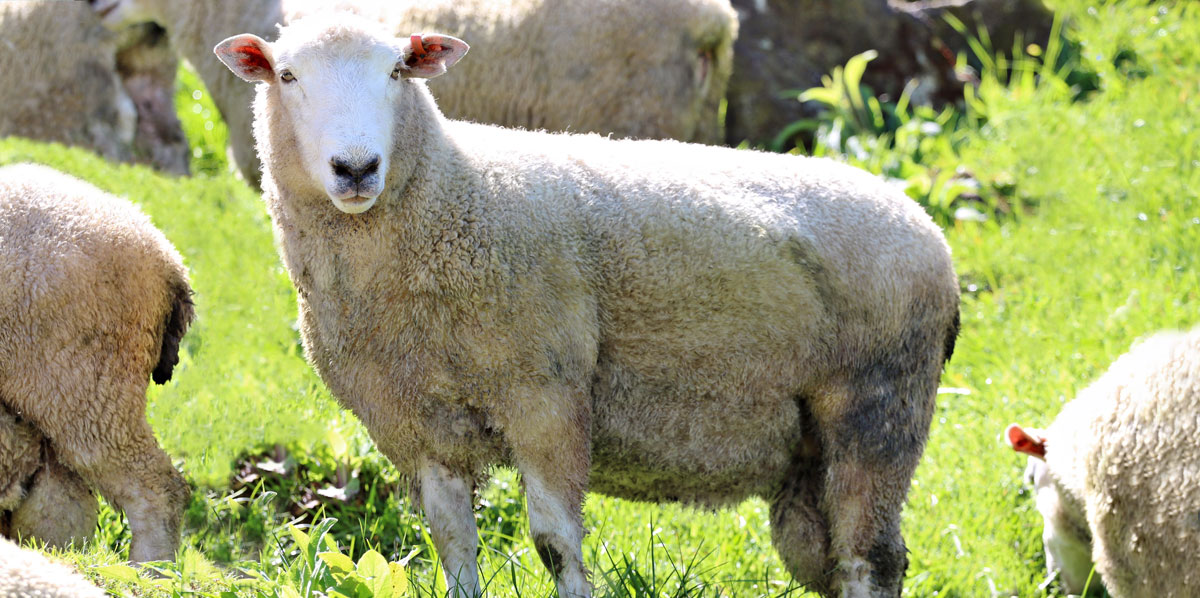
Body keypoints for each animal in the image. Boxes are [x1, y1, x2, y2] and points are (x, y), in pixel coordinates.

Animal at [215, 14, 960, 598]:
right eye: (286, 75)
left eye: (399, 70)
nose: (356, 169)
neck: (454, 200)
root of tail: (927, 228)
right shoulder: (414, 423)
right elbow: (452, 546)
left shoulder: (545, 396)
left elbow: (554, 544)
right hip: (810, 457)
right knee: (832, 557)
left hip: (879, 407)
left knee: (871, 560)